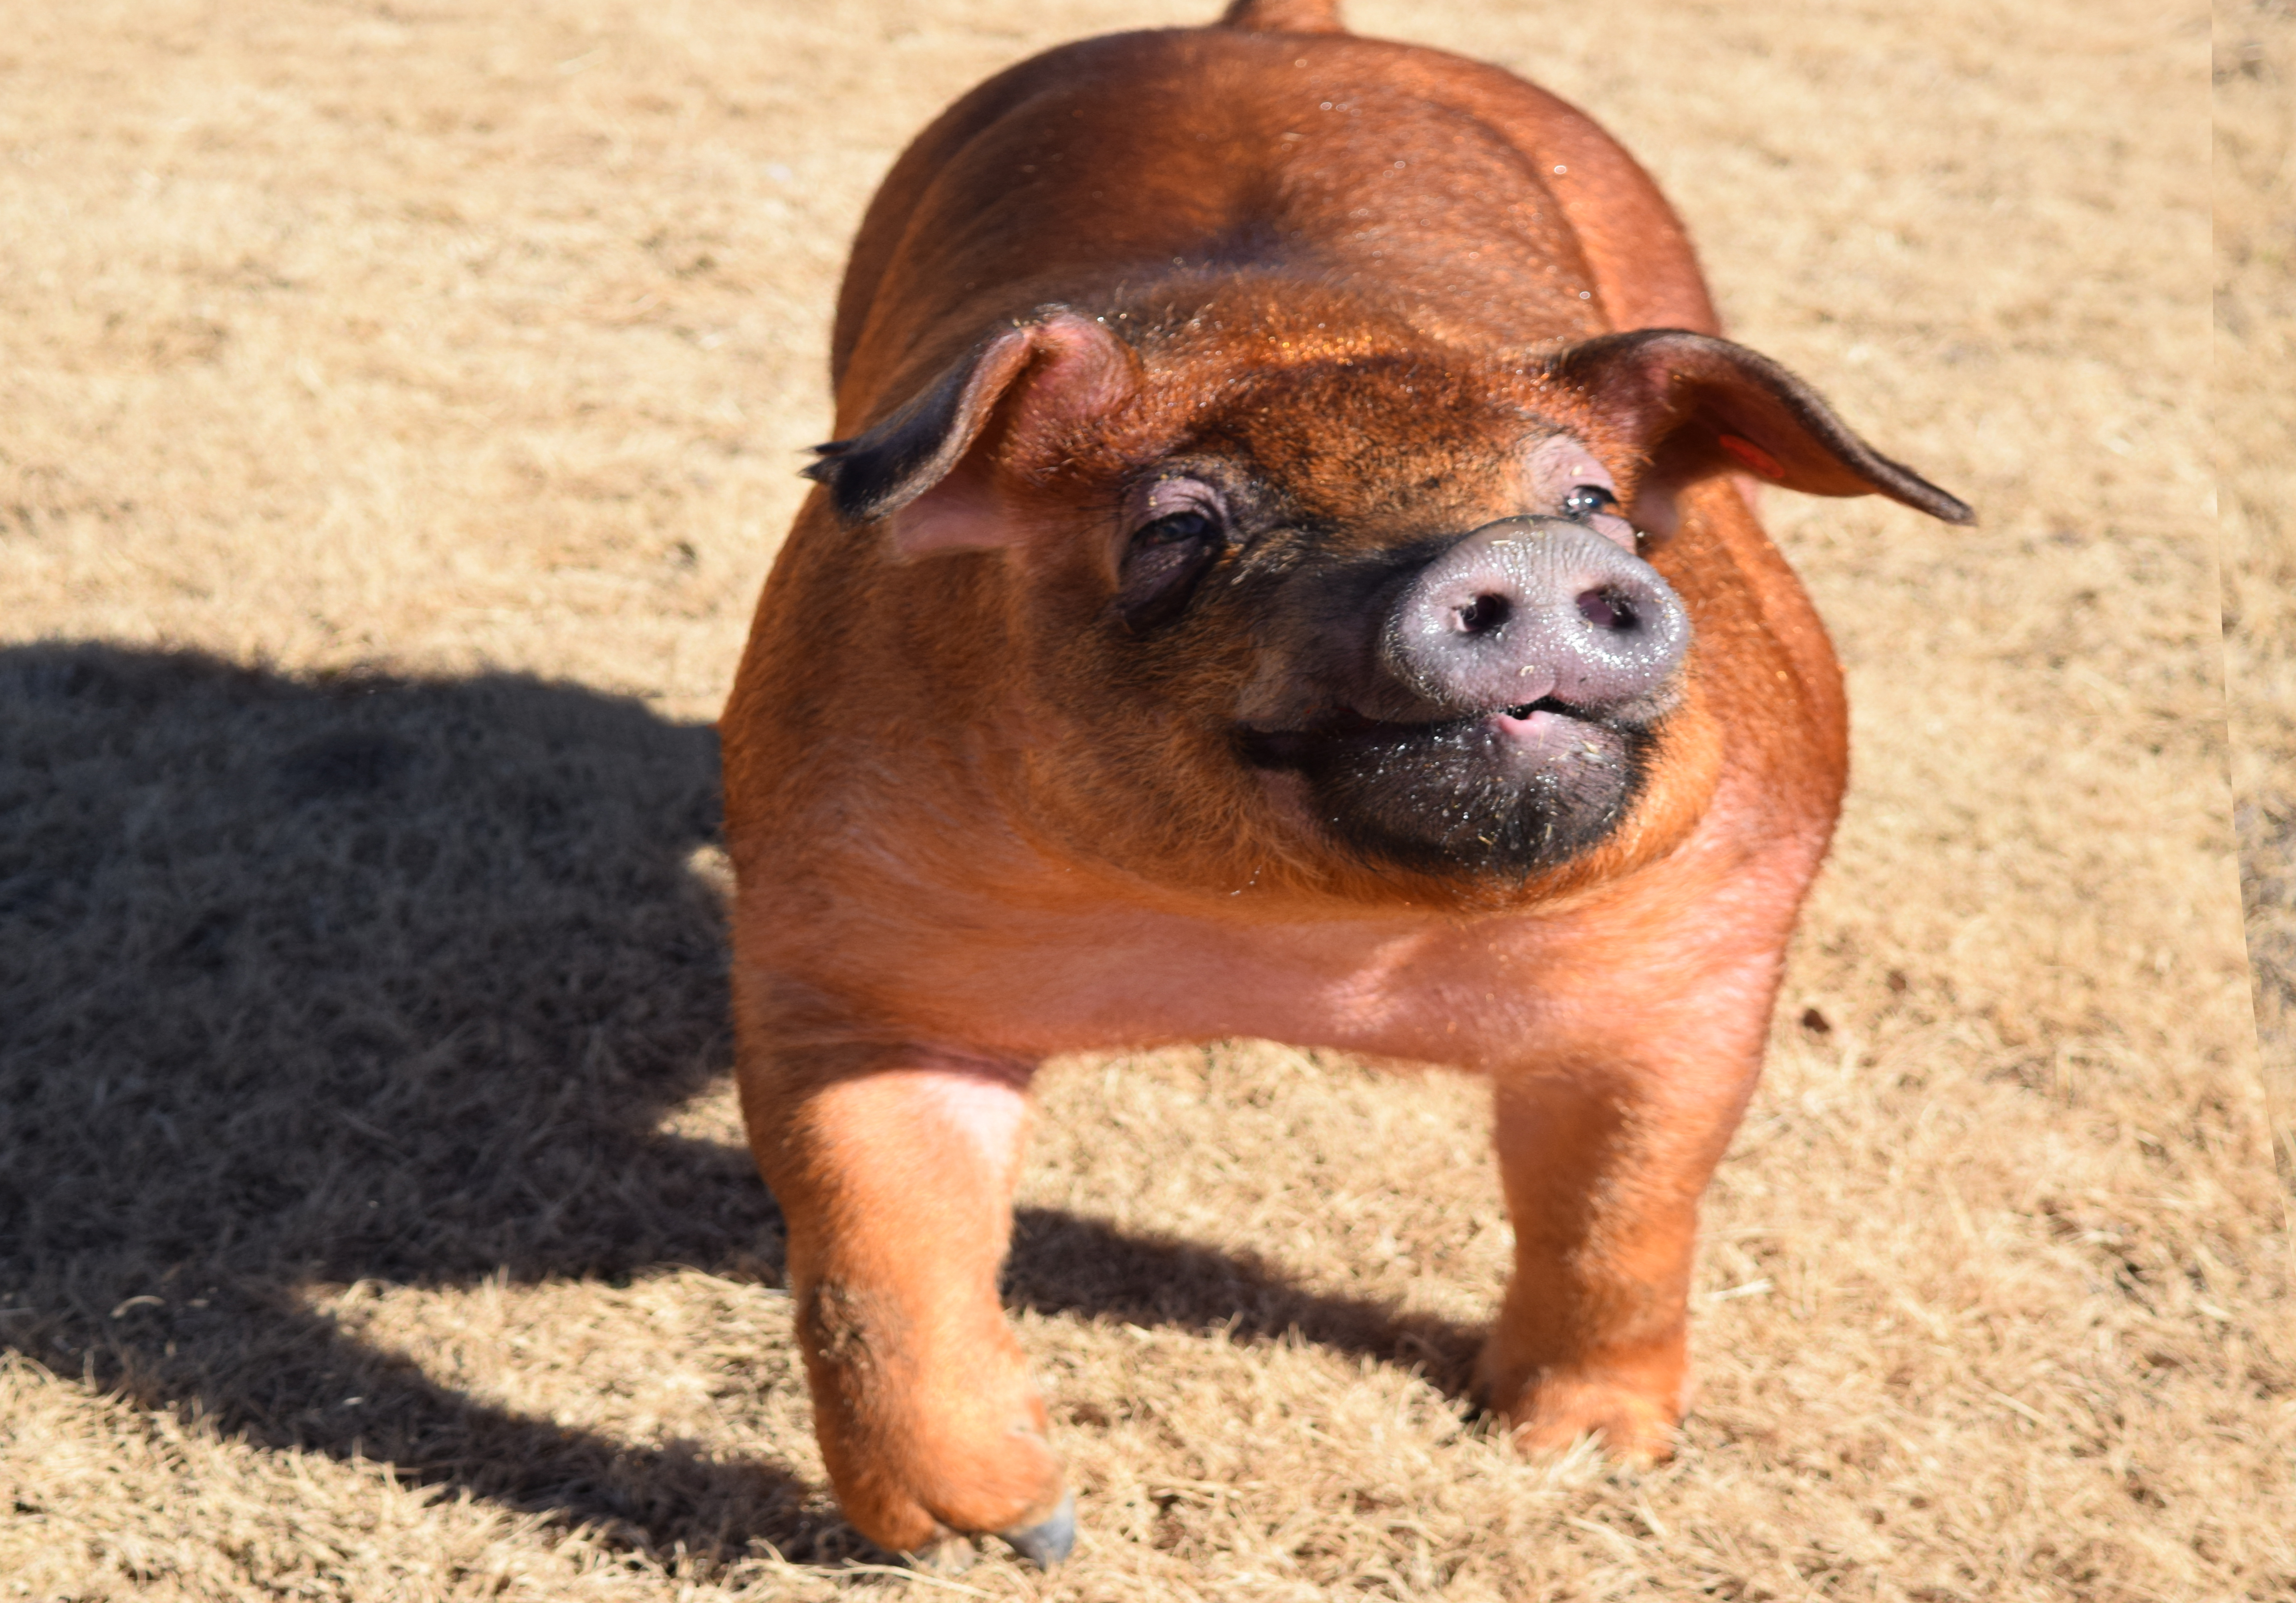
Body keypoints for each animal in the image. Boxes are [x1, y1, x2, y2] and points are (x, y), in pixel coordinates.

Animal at [718, 0, 1971, 1566]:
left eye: (1595, 503)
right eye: (1175, 527)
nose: (1527, 554)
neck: (1293, 947)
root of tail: (1278, 31)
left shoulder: (1709, 950)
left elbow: (1624, 1208)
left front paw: (1578, 1457)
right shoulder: (838, 945)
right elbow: (874, 1250)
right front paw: (1012, 1536)